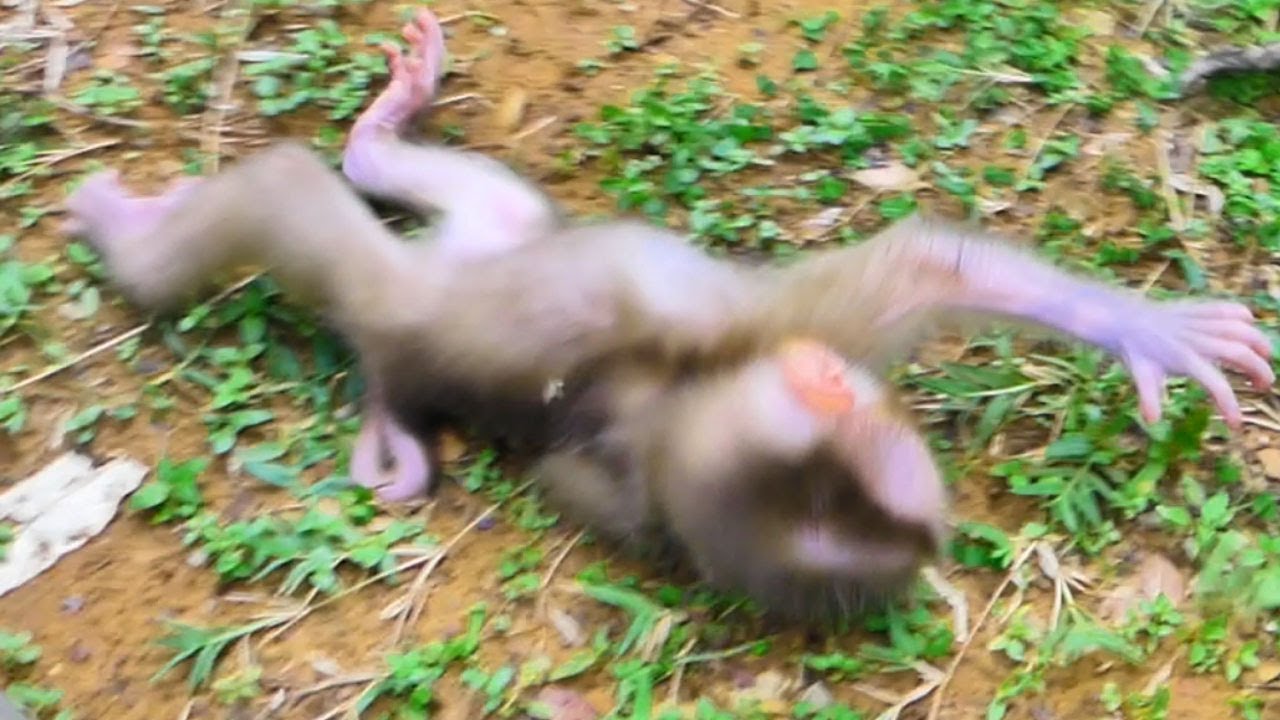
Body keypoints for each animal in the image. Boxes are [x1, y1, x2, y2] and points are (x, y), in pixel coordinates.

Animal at [62, 9, 1273, 621]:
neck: (671, 407)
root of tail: (391, 357)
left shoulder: (619, 480)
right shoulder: (769, 322)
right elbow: (925, 263)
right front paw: (1149, 329)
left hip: (468, 263)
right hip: (391, 279)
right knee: (287, 195)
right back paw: (134, 227)